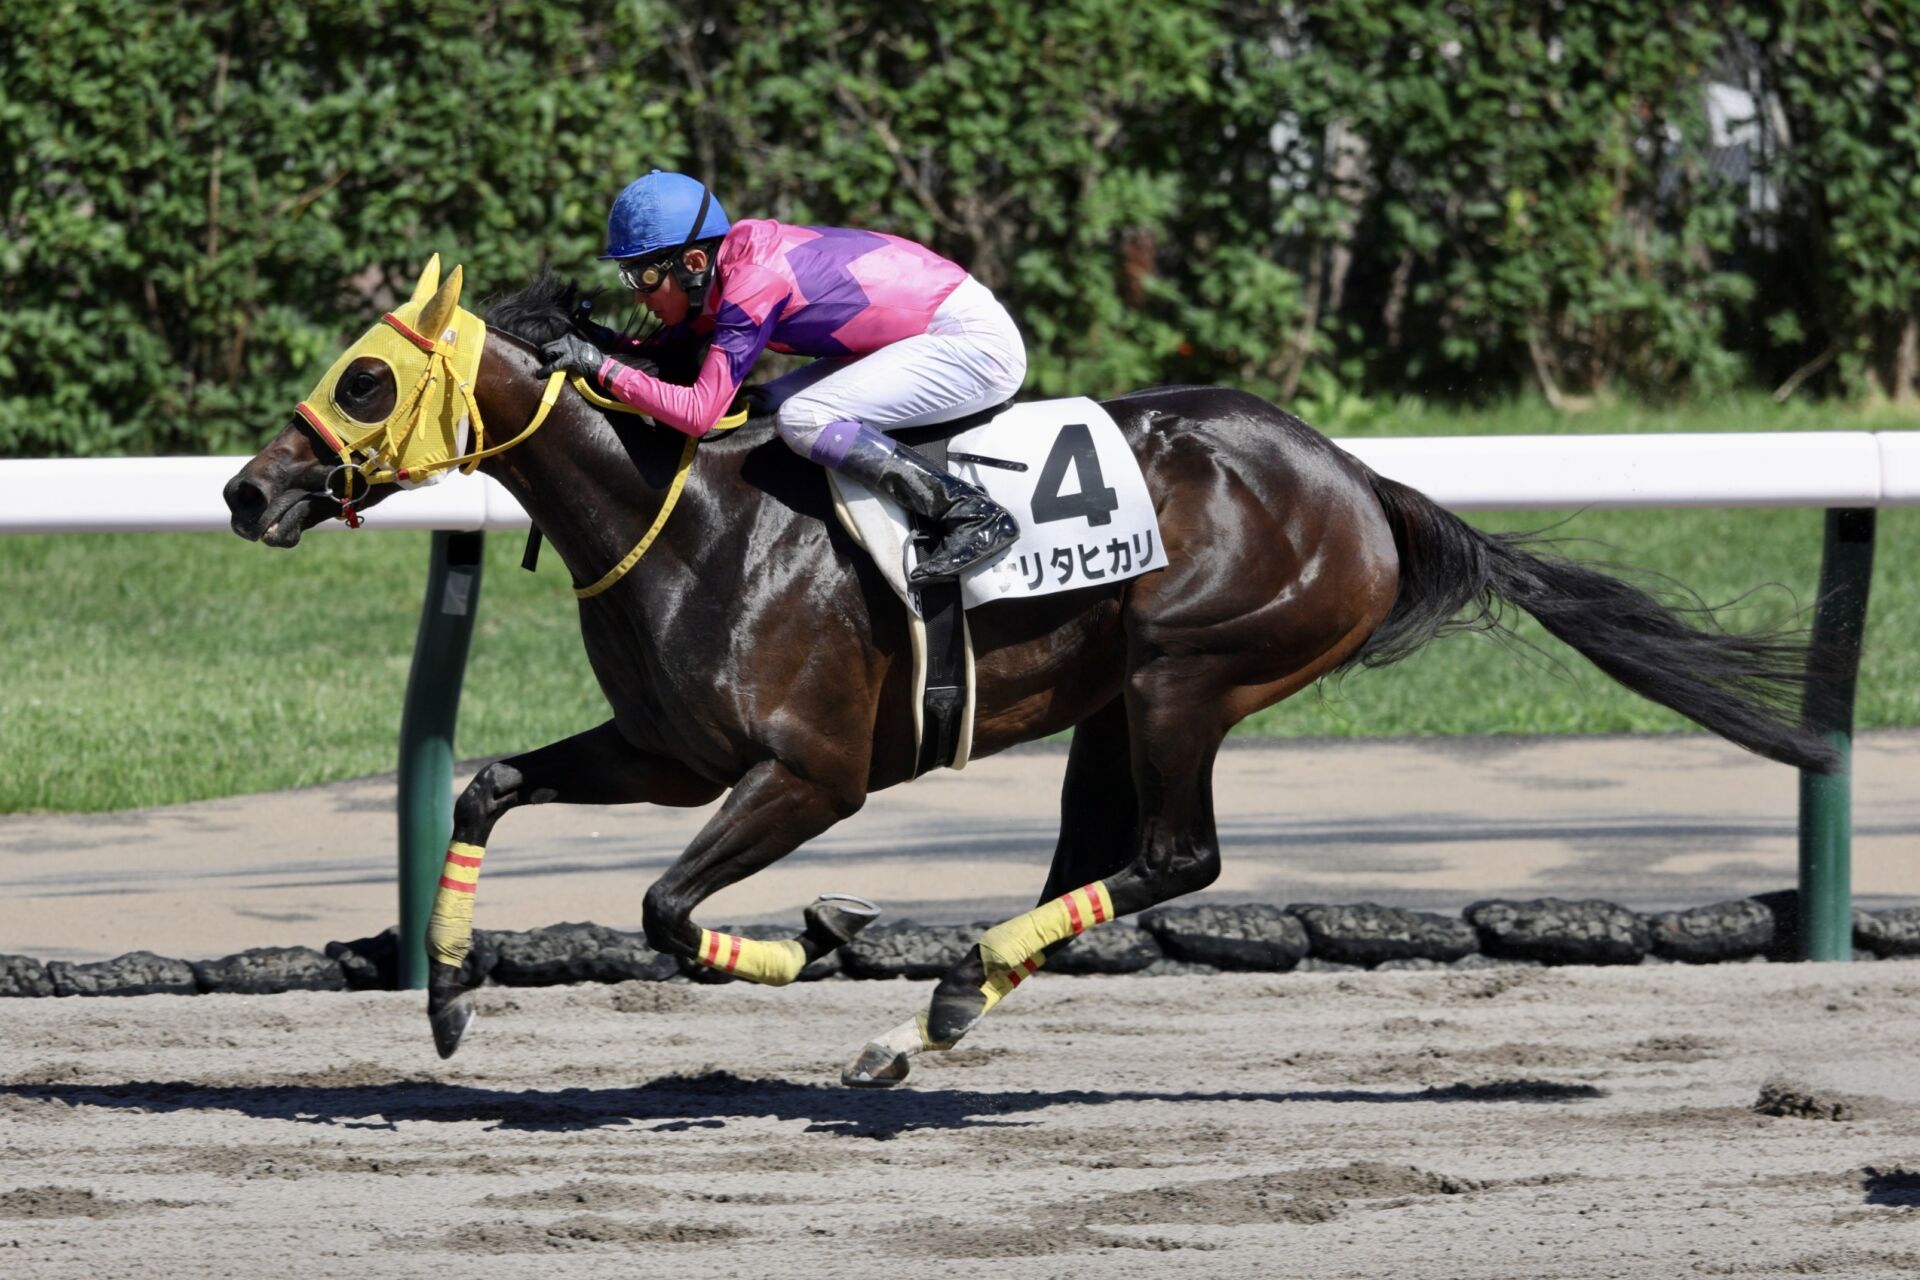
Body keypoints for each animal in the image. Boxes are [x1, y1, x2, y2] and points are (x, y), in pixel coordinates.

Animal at [224, 257, 1838, 1087]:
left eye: (365, 377)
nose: (247, 492)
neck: (688, 522)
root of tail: (1359, 481)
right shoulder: (669, 755)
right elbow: (487, 785)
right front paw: (445, 996)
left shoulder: (809, 773)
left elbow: (666, 909)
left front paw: (805, 942)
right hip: (1113, 703)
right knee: (1094, 861)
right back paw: (924, 1018)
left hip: (1195, 672)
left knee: (1179, 858)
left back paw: (933, 990)